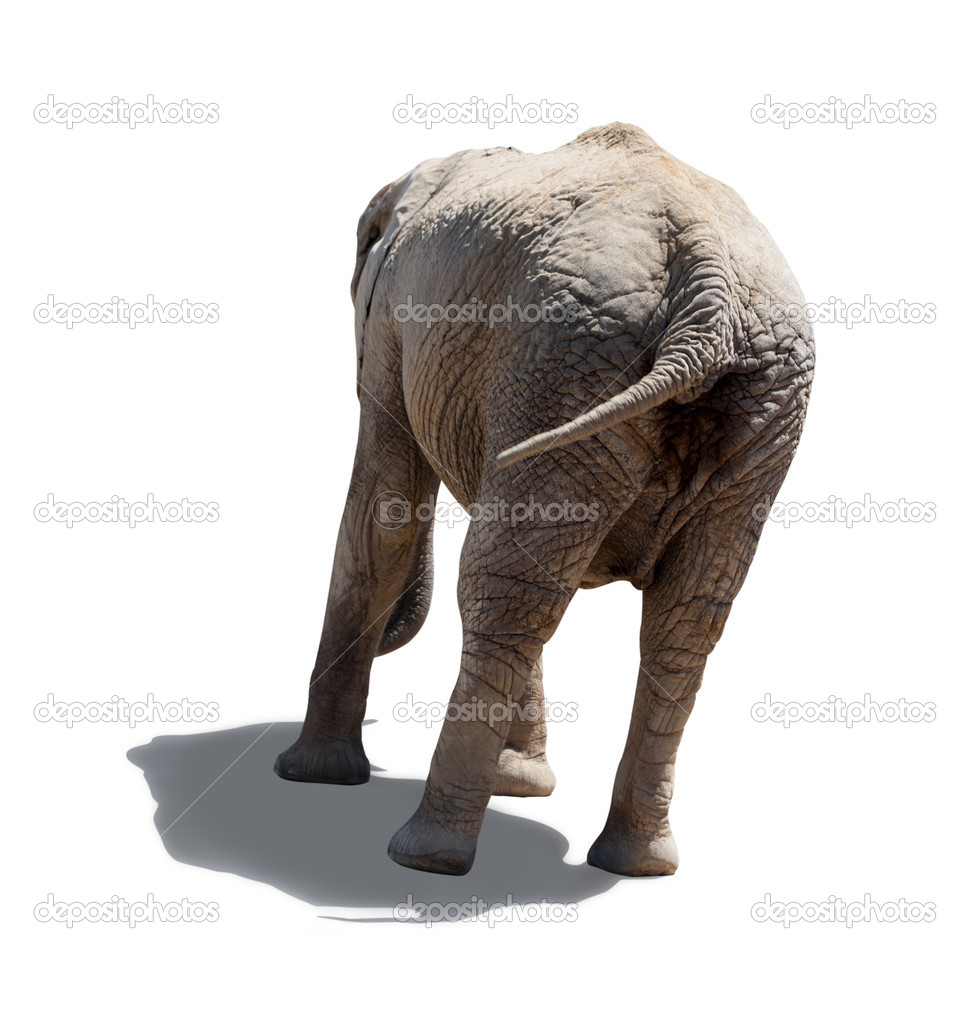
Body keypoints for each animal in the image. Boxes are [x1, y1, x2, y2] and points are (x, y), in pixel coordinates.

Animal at [274, 123, 814, 877]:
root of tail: (707, 277)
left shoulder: (393, 328)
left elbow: (385, 513)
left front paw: (310, 776)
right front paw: (519, 781)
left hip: (571, 357)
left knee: (506, 586)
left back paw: (424, 855)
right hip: (727, 398)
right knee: (680, 615)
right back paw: (635, 863)